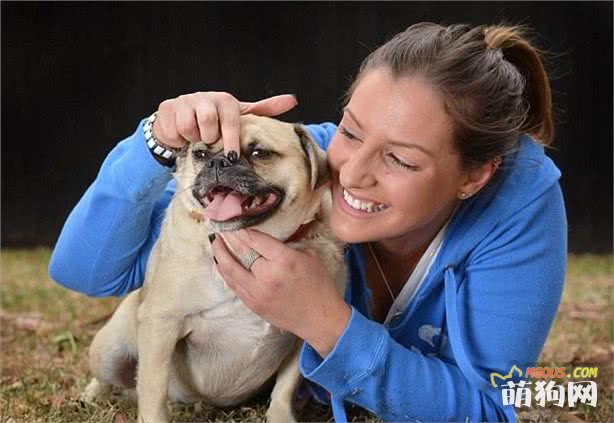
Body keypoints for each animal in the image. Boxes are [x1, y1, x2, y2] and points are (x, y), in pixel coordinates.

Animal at [82, 115, 348, 423]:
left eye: (260, 153)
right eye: (200, 154)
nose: (218, 162)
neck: (245, 243)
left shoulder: (306, 335)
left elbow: (286, 386)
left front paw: (280, 415)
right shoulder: (161, 323)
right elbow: (153, 389)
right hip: (109, 351)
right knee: (109, 378)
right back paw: (90, 396)